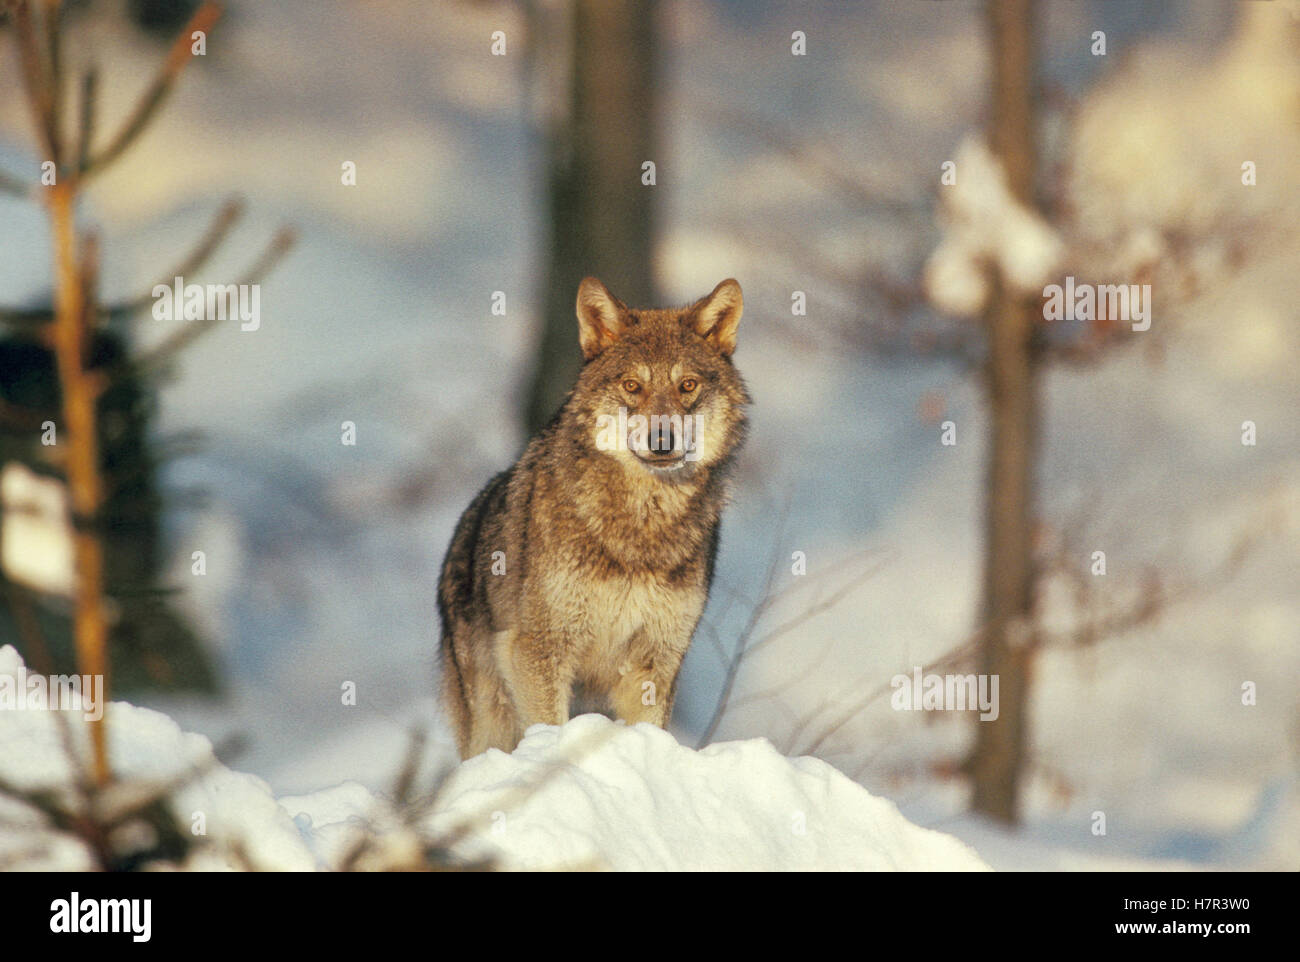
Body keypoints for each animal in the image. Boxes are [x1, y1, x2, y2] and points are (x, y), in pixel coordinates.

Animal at [437, 276, 750, 759]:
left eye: (687, 385)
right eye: (632, 385)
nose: (662, 440)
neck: (640, 530)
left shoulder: (655, 664)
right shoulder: (539, 651)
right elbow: (550, 728)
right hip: (490, 717)